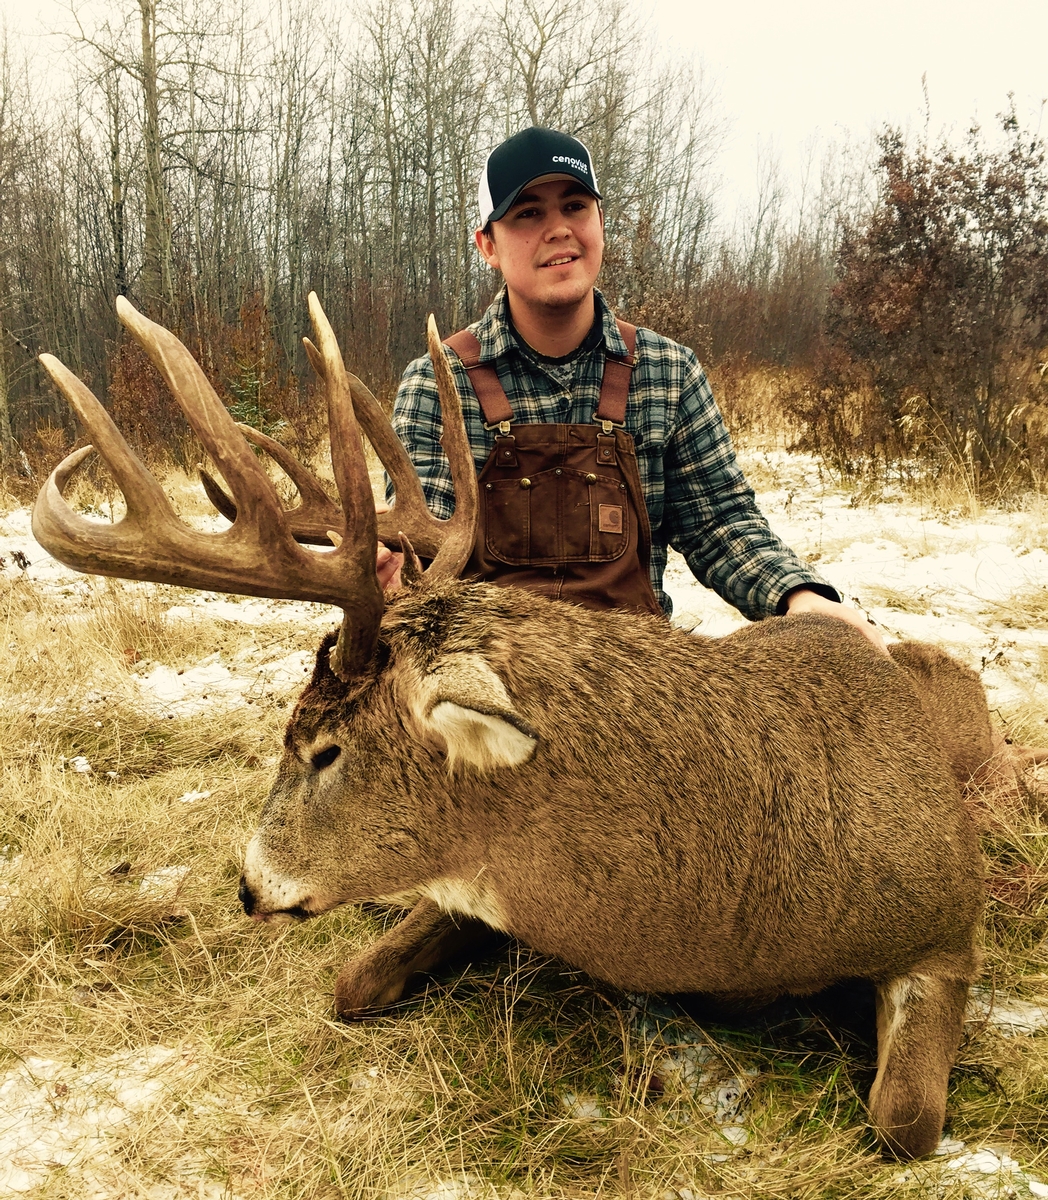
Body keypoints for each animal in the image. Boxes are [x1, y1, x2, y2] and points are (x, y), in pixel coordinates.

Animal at [32, 293, 989, 1161]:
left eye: (325, 750)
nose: (250, 887)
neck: (745, 897)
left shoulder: (949, 927)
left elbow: (904, 1122)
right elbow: (355, 979)